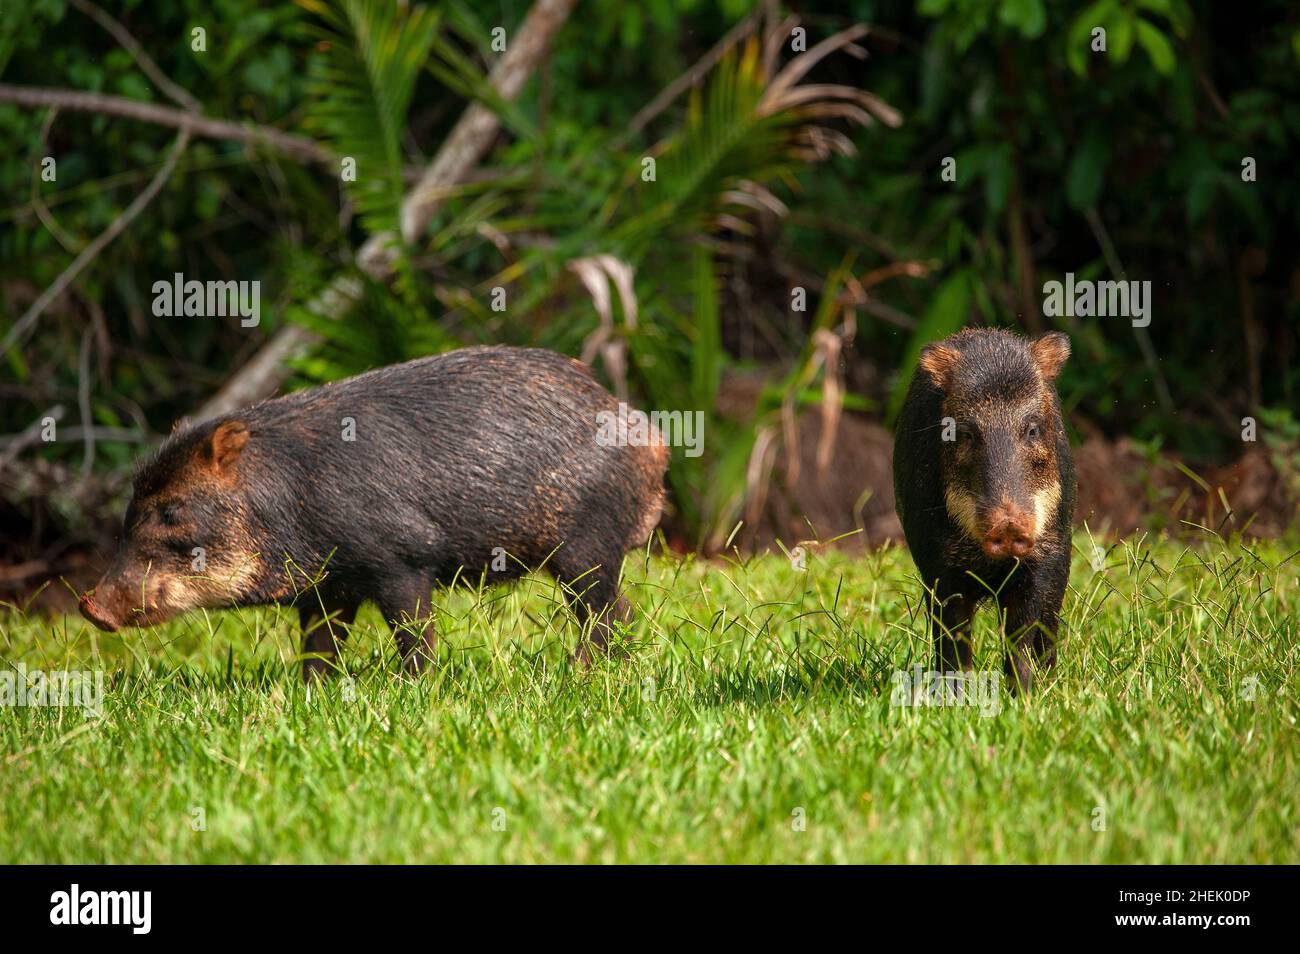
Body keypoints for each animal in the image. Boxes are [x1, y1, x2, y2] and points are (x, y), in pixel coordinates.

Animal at [79, 346, 669, 679]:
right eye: (131, 510)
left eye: (171, 511)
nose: (90, 607)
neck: (285, 503)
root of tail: (651, 436)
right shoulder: (327, 587)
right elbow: (319, 645)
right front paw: (311, 691)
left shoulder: (402, 559)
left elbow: (414, 634)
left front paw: (417, 687)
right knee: (620, 612)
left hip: (585, 547)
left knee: (603, 612)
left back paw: (583, 676)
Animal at [893, 328, 1075, 692]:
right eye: (965, 433)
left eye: (1032, 429)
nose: (1007, 526)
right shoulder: (941, 567)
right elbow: (953, 643)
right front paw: (954, 697)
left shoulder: (1041, 562)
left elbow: (1021, 640)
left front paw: (1024, 695)